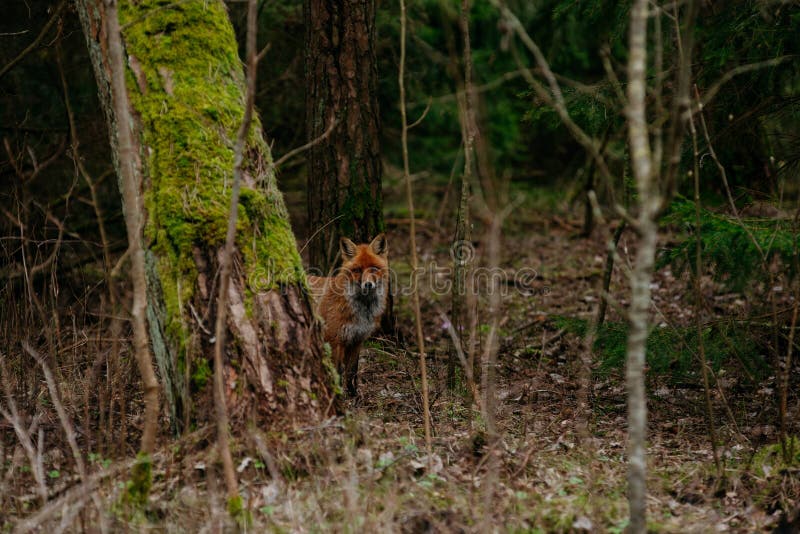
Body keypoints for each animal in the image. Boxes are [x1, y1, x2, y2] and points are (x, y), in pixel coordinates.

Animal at [307, 234, 389, 396]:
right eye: (357, 270)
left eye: (374, 268)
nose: (368, 285)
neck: (362, 310)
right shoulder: (334, 340)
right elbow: (337, 372)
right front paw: (338, 395)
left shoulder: (357, 340)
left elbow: (351, 371)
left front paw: (353, 394)